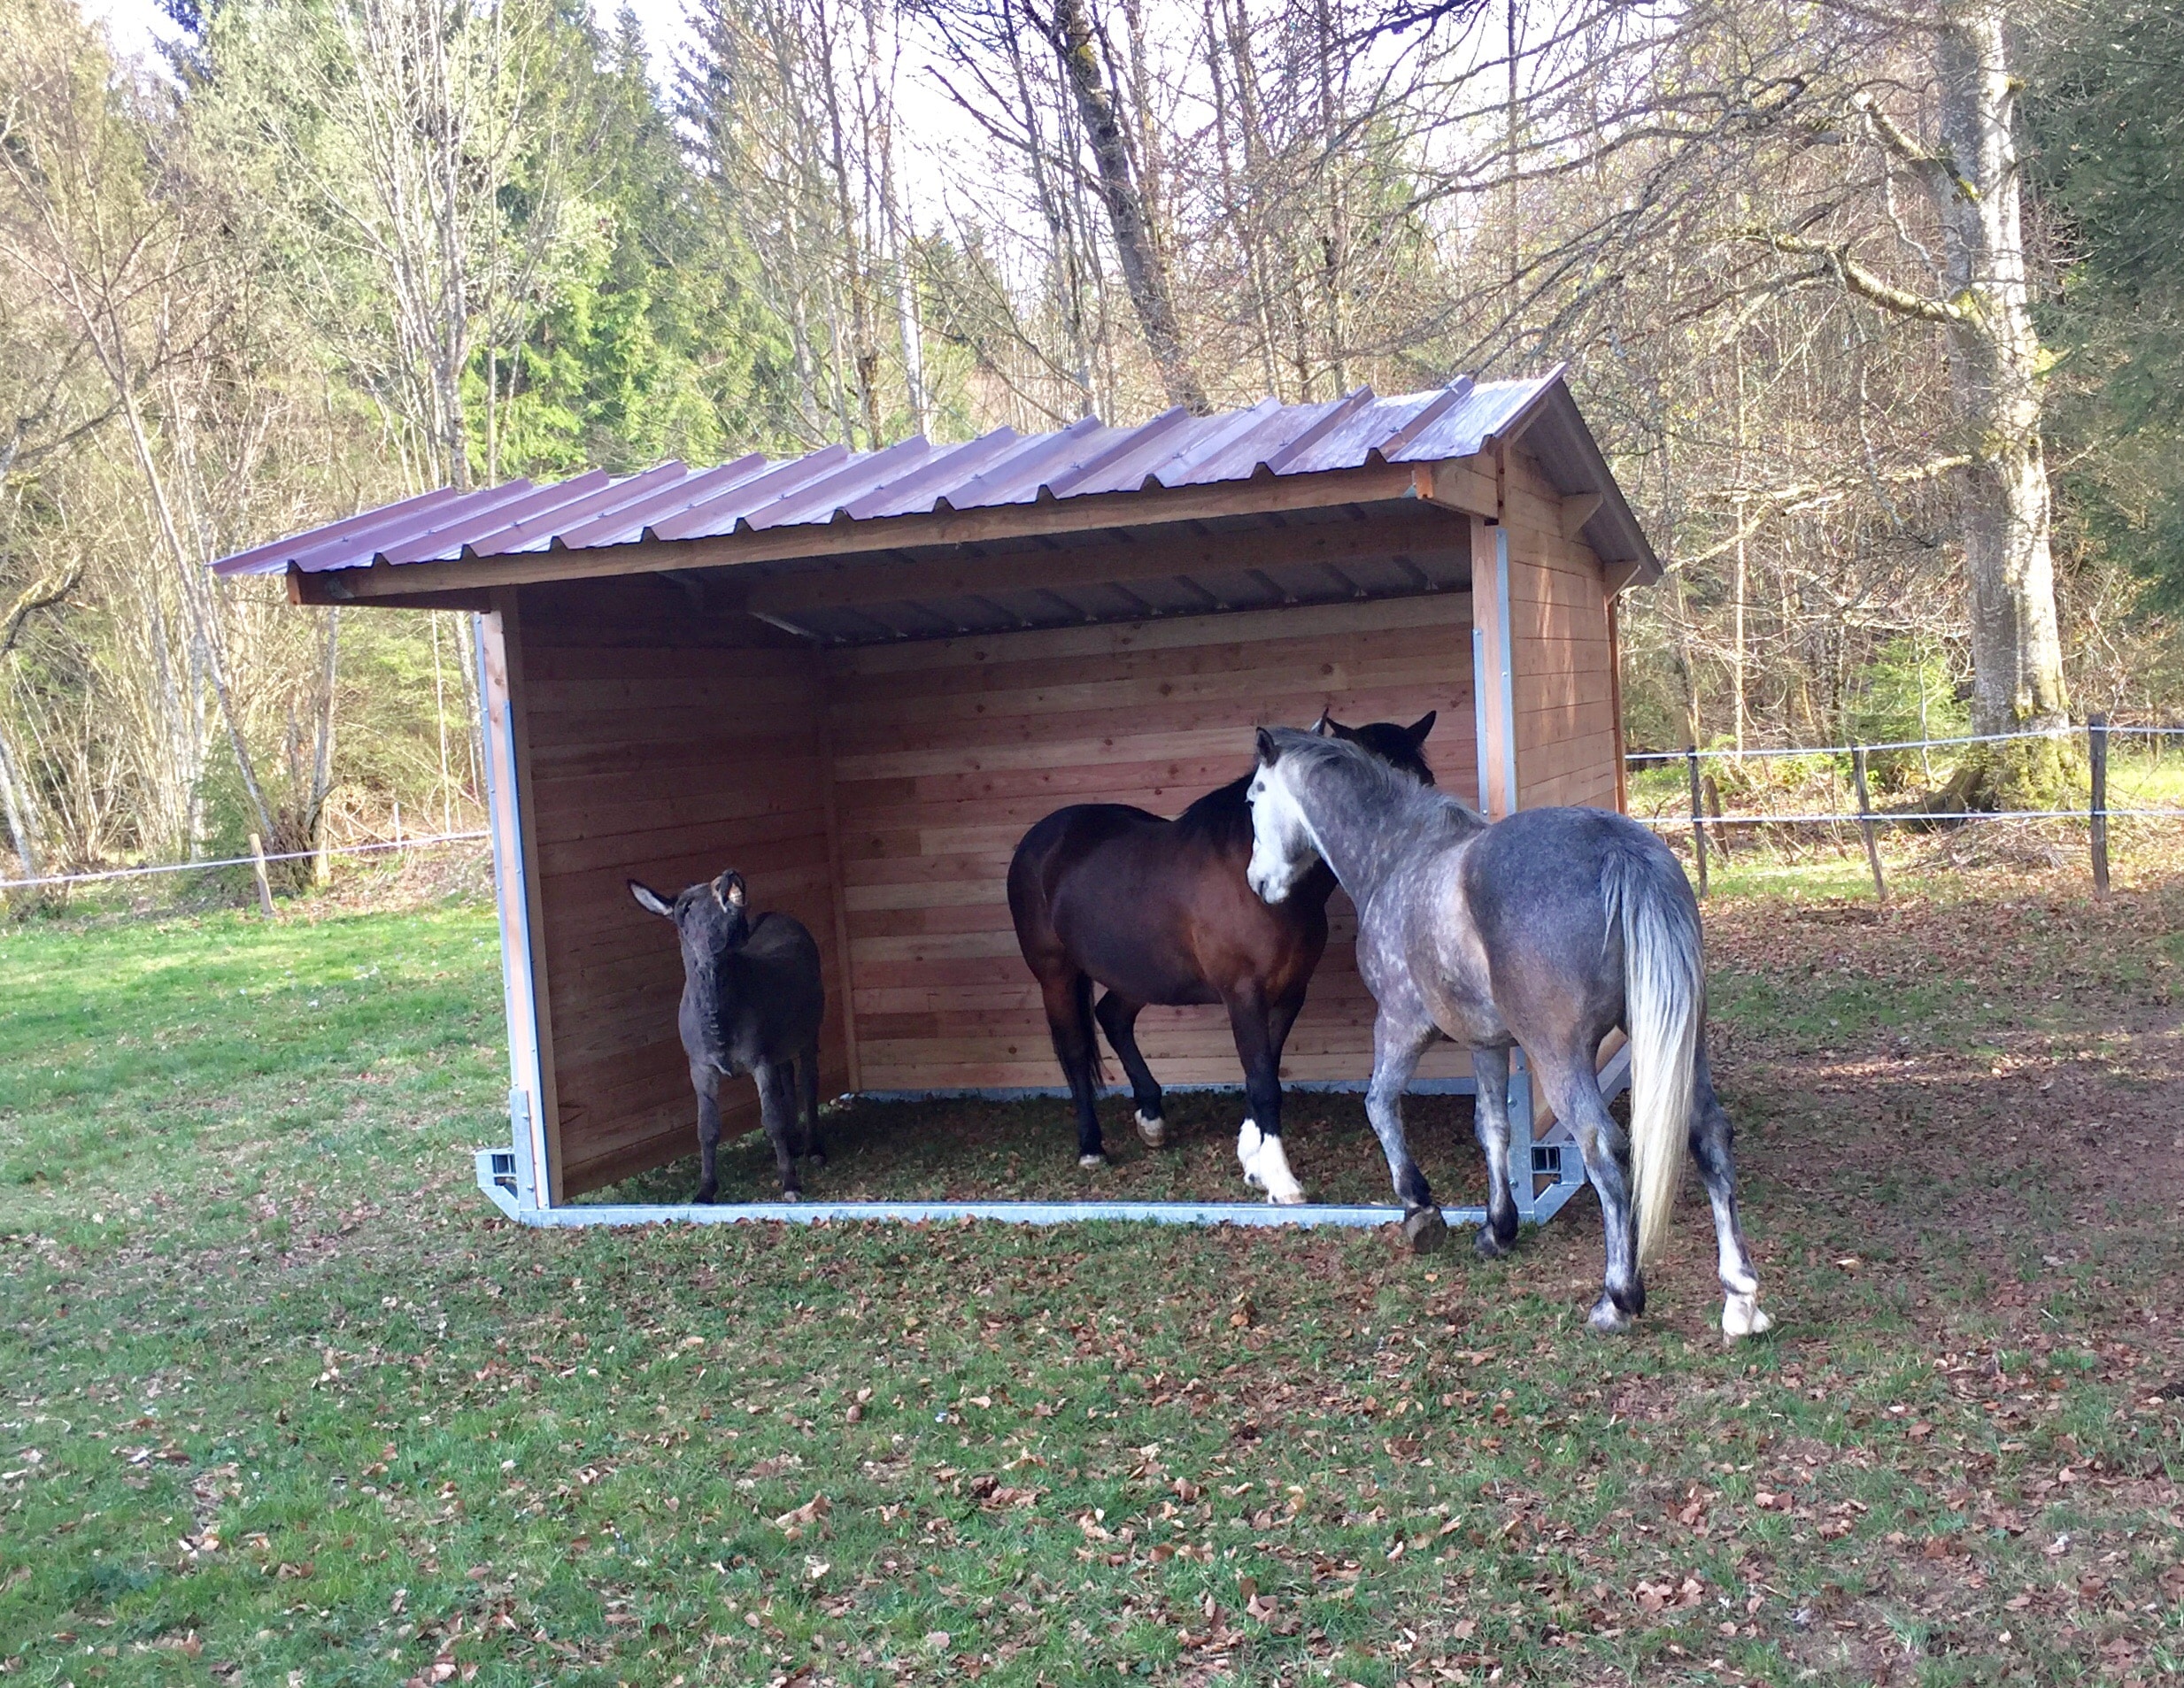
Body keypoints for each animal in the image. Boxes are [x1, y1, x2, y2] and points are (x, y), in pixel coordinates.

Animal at [629, 870, 826, 1202]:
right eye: (686, 906)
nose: (729, 874)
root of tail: (774, 914)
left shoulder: (760, 1060)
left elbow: (771, 1119)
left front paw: (789, 1182)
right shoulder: (701, 1067)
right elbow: (706, 1129)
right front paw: (705, 1190)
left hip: (809, 1032)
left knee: (809, 1083)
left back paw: (813, 1148)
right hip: (781, 1043)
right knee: (788, 1078)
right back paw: (796, 1141)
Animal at [1006, 711, 1438, 1194]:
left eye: (1427, 782)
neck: (1258, 885)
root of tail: (1043, 838)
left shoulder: (1289, 993)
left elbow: (1264, 1070)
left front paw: (1253, 1158)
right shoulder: (1243, 994)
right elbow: (1264, 1082)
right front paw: (1282, 1181)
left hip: (1140, 972)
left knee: (1112, 1017)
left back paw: (1151, 1118)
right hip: (1056, 975)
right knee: (1077, 1052)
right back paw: (1091, 1148)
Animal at [1243, 727, 1768, 1341]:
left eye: (1252, 798)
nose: (1258, 882)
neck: (1397, 854)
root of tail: (1618, 850)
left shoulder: (1399, 1024)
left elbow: (1379, 1104)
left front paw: (1419, 1209)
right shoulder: (1487, 1044)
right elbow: (1492, 1128)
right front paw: (1498, 1229)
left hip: (1562, 1057)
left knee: (1603, 1149)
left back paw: (1617, 1300)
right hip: (1683, 1044)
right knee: (1710, 1137)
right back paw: (1740, 1300)